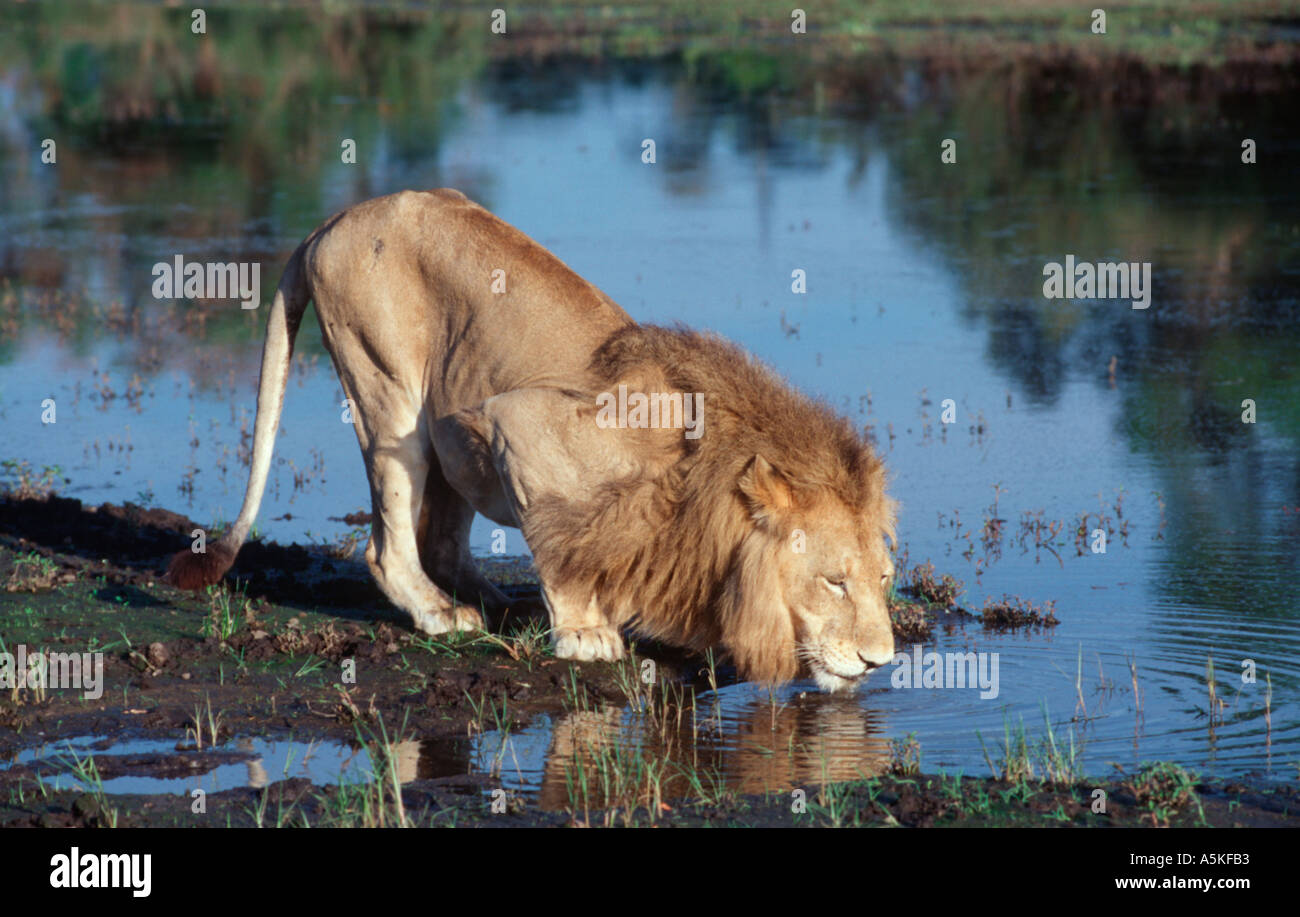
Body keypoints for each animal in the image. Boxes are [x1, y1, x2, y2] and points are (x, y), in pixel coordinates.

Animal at [168, 188, 897, 691]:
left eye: (884, 578)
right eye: (834, 582)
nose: (880, 660)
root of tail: (332, 221)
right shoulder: (518, 424)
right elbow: (561, 554)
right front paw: (583, 632)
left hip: (449, 413)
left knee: (440, 533)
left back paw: (492, 600)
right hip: (390, 392)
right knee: (387, 545)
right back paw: (442, 614)